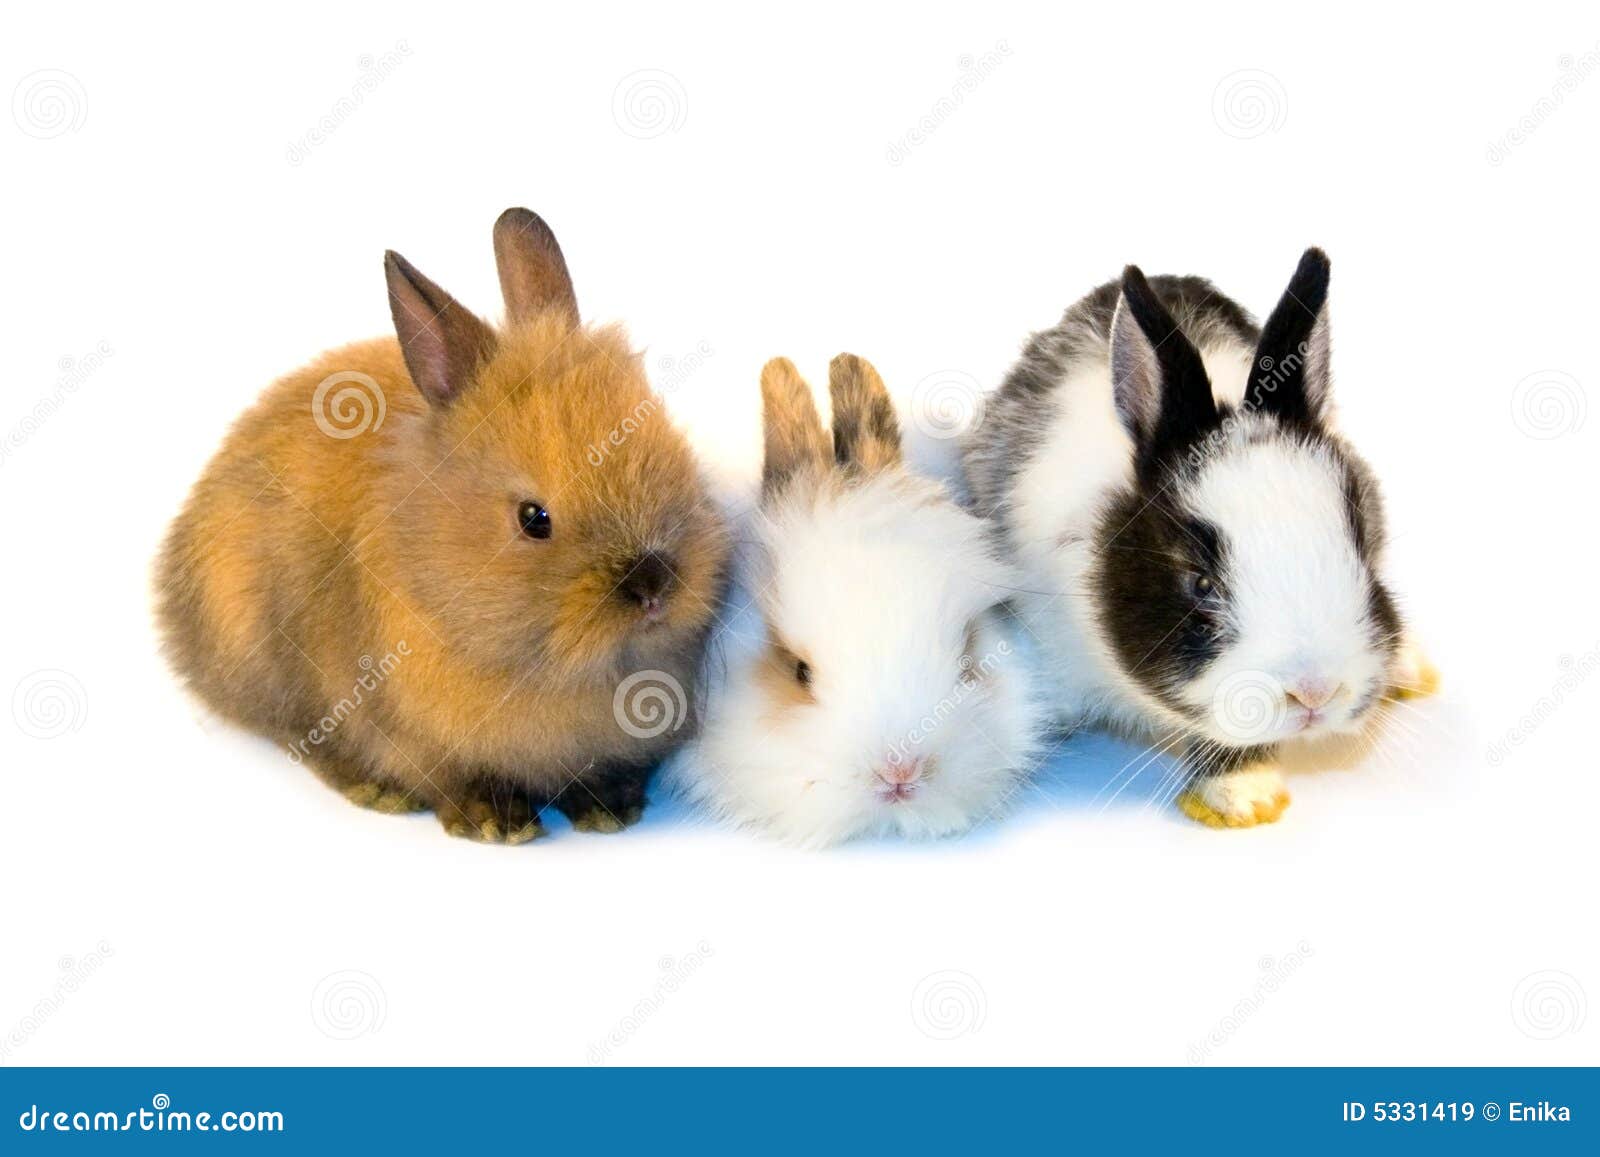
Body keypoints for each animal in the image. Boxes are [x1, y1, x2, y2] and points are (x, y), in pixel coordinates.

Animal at [156, 207, 730, 843]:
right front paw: (497, 823)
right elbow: (452, 779)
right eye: (534, 519)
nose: (653, 585)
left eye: (675, 455)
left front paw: (609, 809)